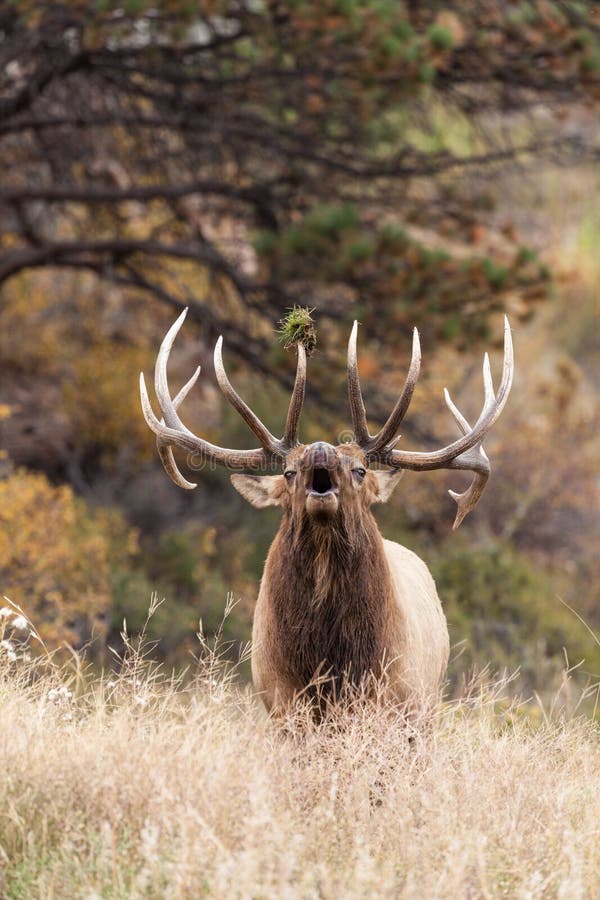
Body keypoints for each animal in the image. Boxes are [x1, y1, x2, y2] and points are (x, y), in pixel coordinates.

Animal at [140, 311, 513, 718]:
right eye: (288, 472)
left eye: (360, 470)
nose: (321, 450)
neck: (332, 663)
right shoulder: (281, 702)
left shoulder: (396, 700)